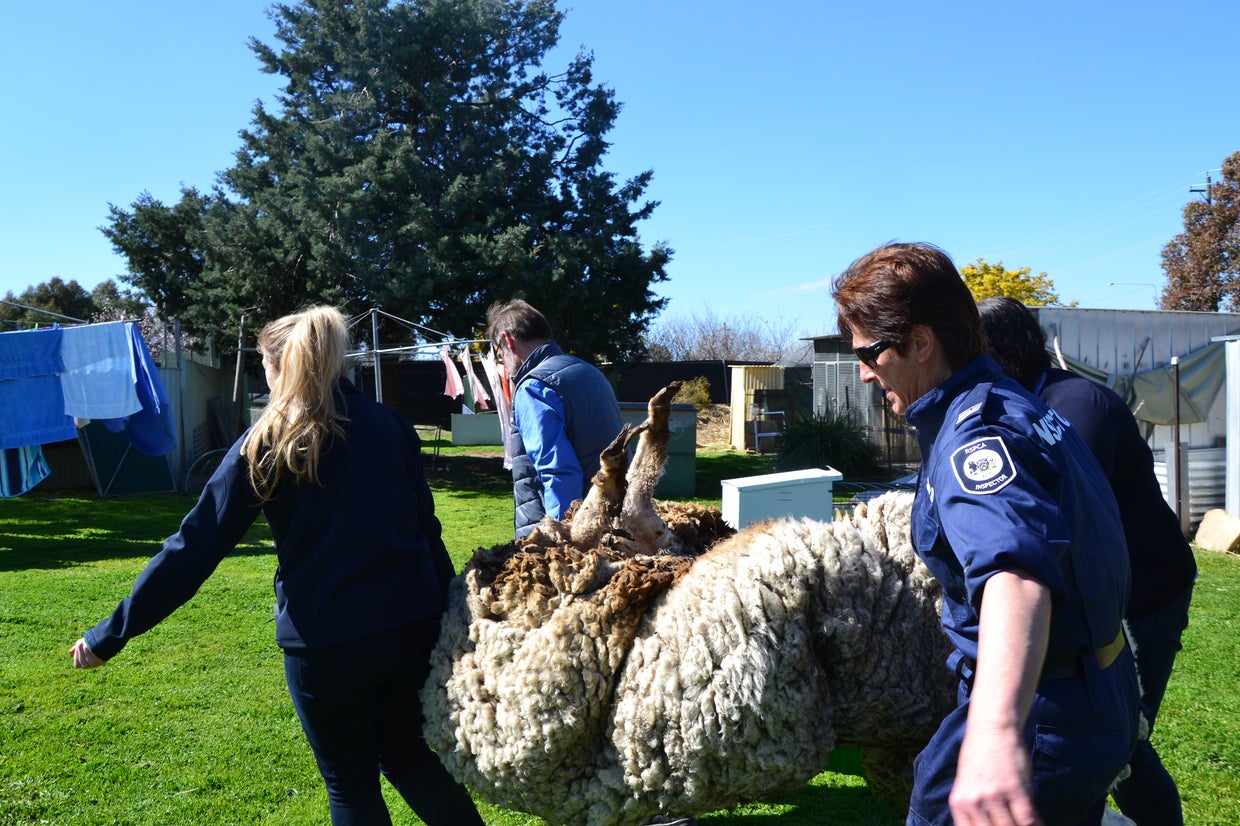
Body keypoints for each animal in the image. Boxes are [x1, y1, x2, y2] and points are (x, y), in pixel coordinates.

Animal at [421, 384, 955, 825]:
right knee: (614, 505)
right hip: (576, 605)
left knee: (619, 511)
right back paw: (640, 434)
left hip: (600, 580)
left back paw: (643, 433)